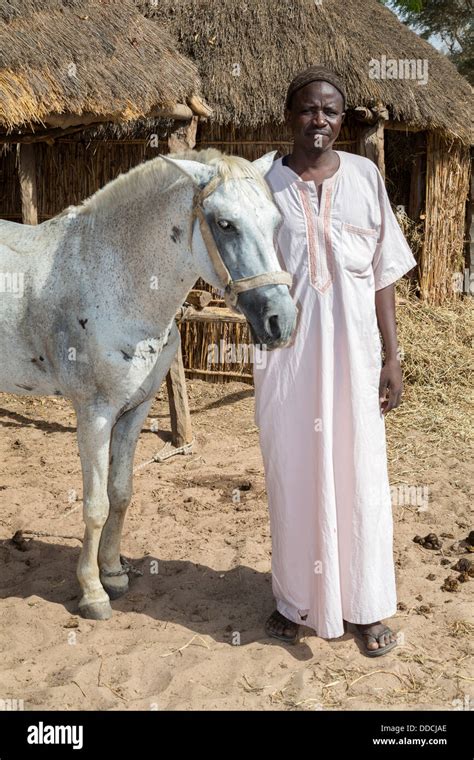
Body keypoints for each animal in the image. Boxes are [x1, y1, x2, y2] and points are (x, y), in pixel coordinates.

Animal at [0, 148, 297, 620]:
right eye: (224, 224)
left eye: (274, 221)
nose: (280, 321)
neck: (112, 282)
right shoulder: (95, 416)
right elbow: (96, 505)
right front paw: (92, 592)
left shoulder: (133, 412)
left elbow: (121, 493)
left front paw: (113, 573)